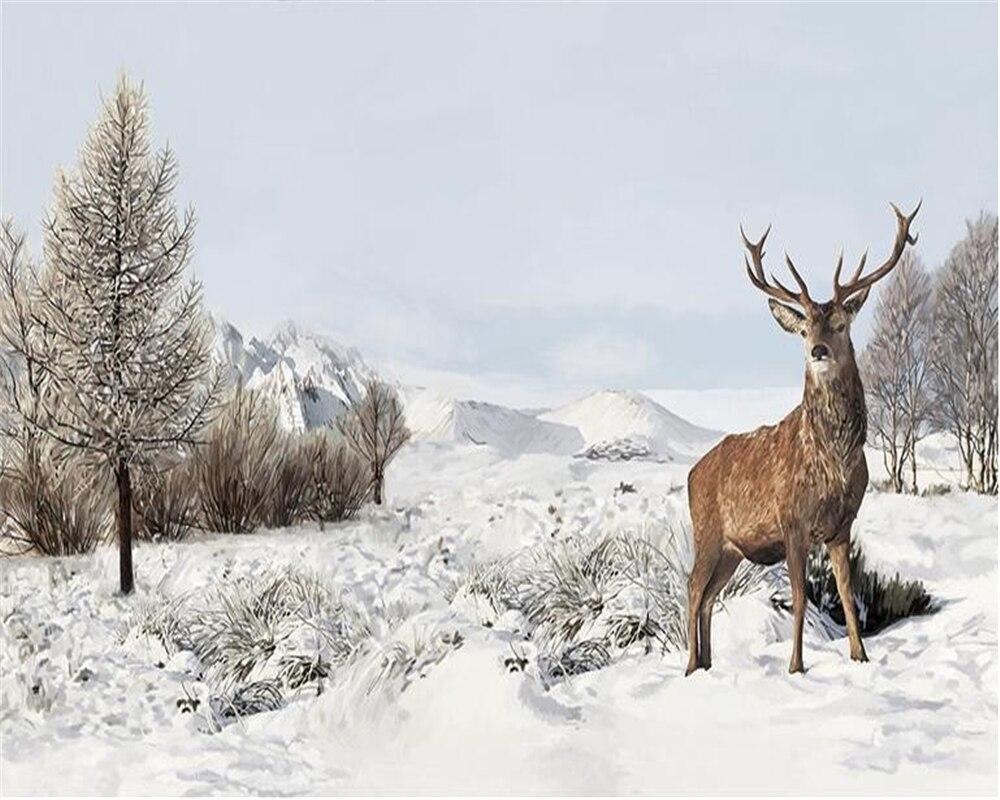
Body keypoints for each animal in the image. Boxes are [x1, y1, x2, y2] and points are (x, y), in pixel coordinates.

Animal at [685, 202, 921, 676]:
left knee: (709, 597)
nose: (818, 351)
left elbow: (847, 594)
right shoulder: (791, 520)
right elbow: (797, 598)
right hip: (706, 530)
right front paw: (795, 667)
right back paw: (688, 666)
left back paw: (707, 665)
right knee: (691, 589)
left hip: (732, 550)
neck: (834, 462)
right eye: (804, 328)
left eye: (841, 323)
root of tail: (690, 474)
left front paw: (860, 655)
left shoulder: (842, 525)